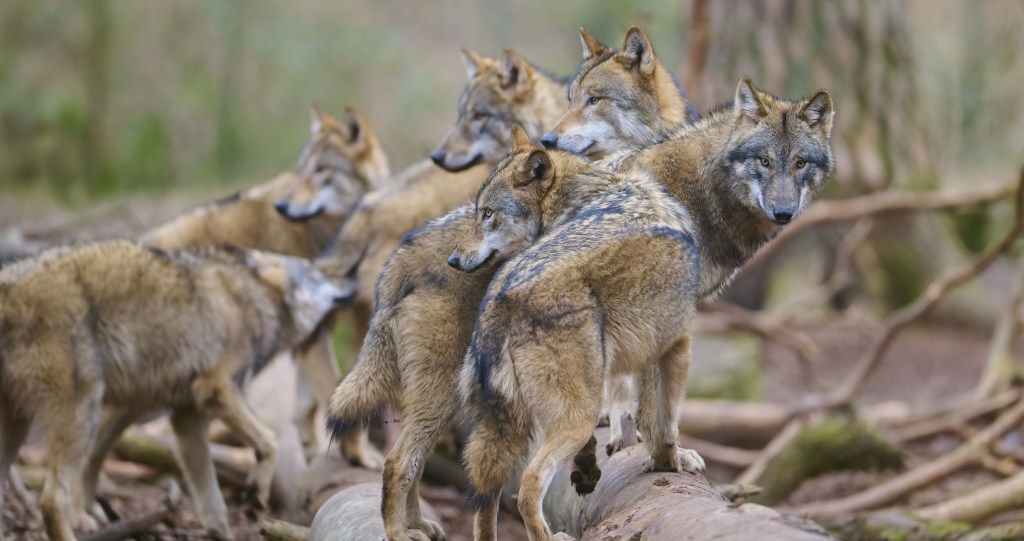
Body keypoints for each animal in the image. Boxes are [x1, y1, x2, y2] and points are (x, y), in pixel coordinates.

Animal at [0, 241, 352, 541]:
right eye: (315, 274)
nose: (351, 282)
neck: (253, 299)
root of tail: (10, 286)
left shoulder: (184, 418)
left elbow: (211, 500)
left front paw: (223, 532)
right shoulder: (214, 389)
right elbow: (269, 440)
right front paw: (256, 493)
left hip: (57, 419)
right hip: (83, 412)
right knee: (50, 499)